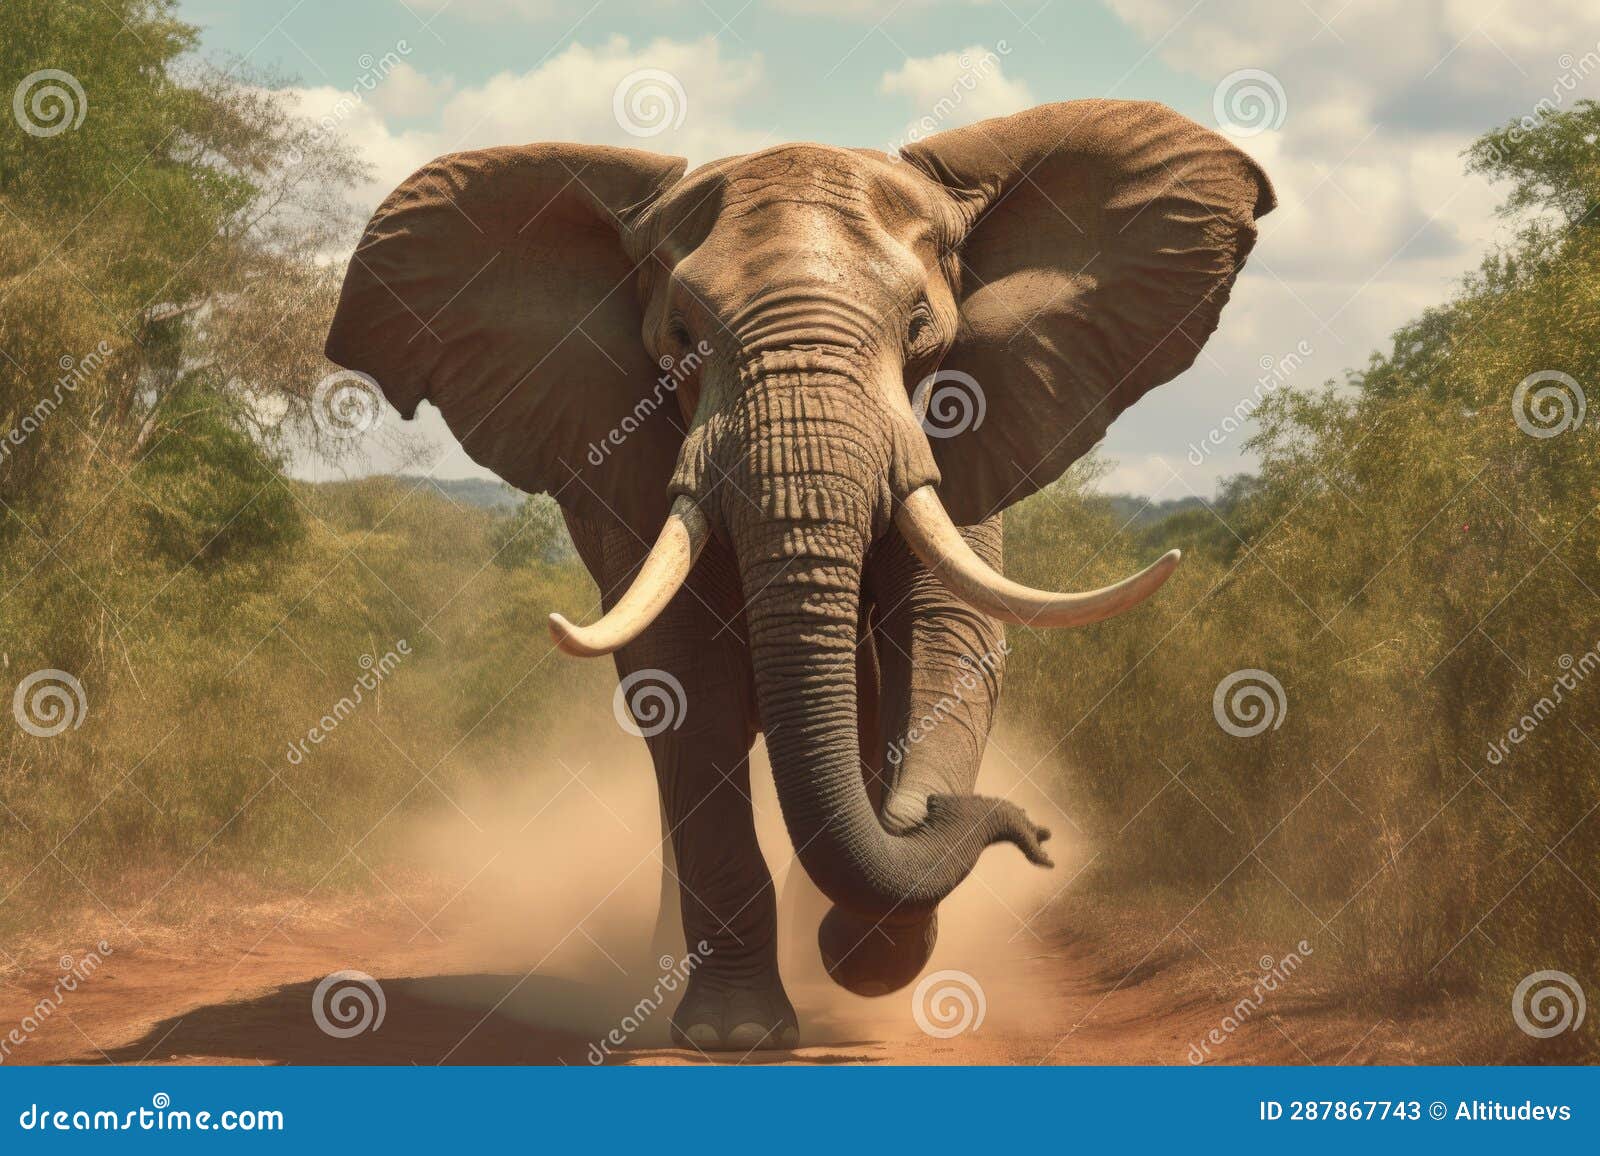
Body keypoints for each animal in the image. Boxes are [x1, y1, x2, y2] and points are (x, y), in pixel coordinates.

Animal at [324, 100, 1273, 1051]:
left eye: (922, 330)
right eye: (681, 341)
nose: (1041, 837)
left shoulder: (972, 424)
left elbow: (946, 637)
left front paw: (867, 952)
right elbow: (682, 680)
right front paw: (735, 1034)